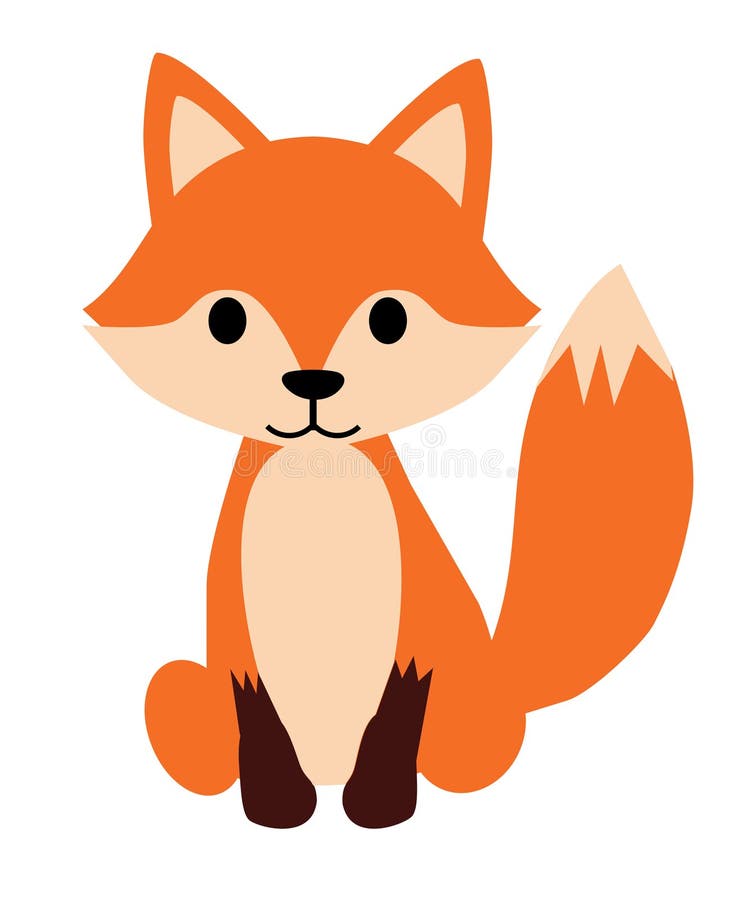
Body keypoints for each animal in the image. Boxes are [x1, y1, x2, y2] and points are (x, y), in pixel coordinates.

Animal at [85, 54, 693, 829]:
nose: (312, 381)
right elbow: (261, 732)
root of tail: (506, 672)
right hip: (172, 686)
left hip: (468, 703)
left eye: (389, 319)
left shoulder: (418, 643)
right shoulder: (237, 655)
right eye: (226, 319)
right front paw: (277, 811)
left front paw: (379, 809)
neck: (317, 493)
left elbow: (394, 724)